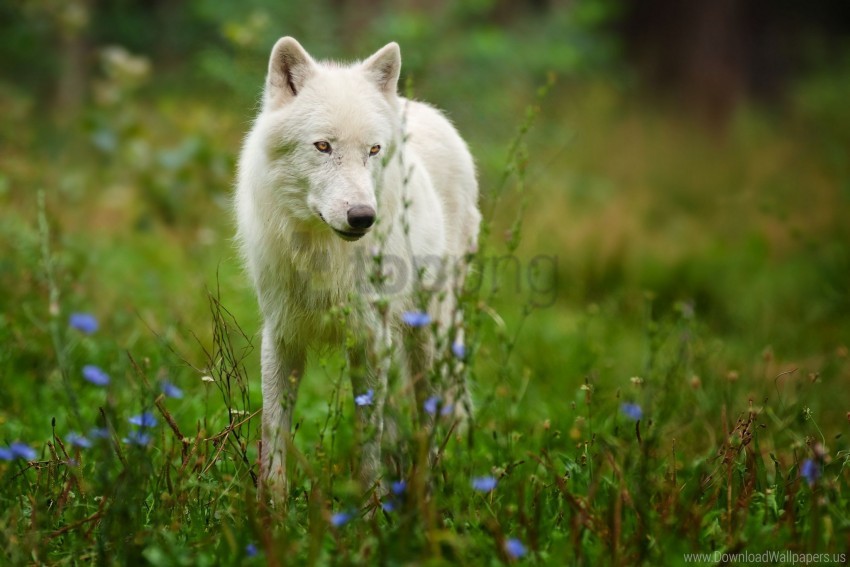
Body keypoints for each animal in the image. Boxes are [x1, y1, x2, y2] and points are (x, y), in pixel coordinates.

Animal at [235, 37, 480, 502]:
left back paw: (433, 479)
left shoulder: (370, 337)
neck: (324, 256)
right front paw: (270, 509)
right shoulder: (281, 335)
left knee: (431, 410)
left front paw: (370, 507)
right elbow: (273, 430)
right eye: (323, 147)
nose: (363, 217)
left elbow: (369, 435)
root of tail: (418, 106)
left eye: (373, 150)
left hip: (429, 336)